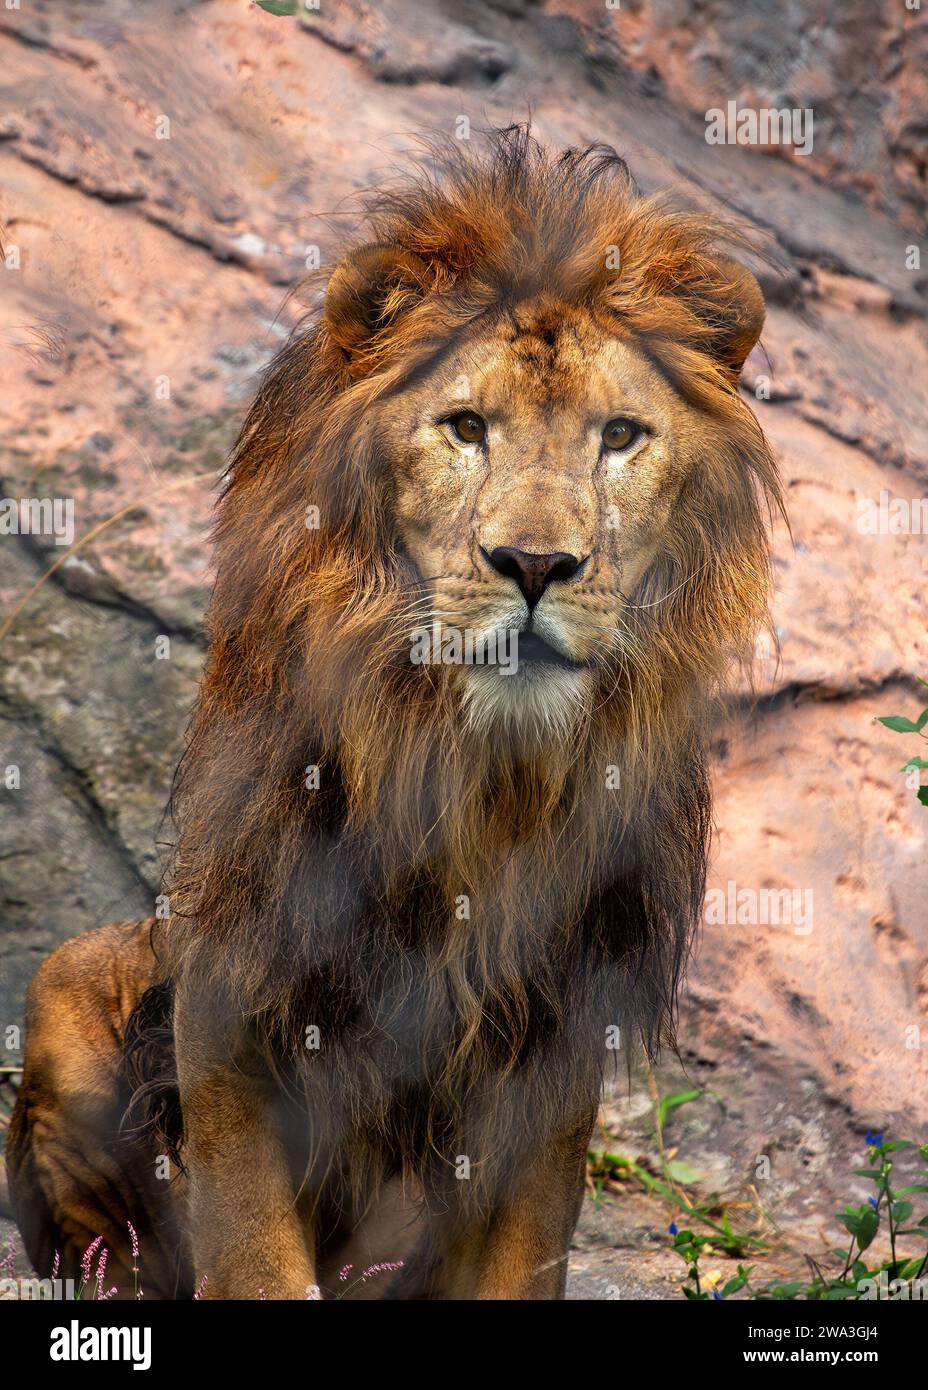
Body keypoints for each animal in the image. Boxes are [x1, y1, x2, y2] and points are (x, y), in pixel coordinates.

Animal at [7, 127, 782, 1300]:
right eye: (465, 427)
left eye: (619, 437)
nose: (535, 565)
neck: (481, 770)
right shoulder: (239, 975)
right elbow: (253, 1248)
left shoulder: (556, 1029)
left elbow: (523, 1256)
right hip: (73, 972)